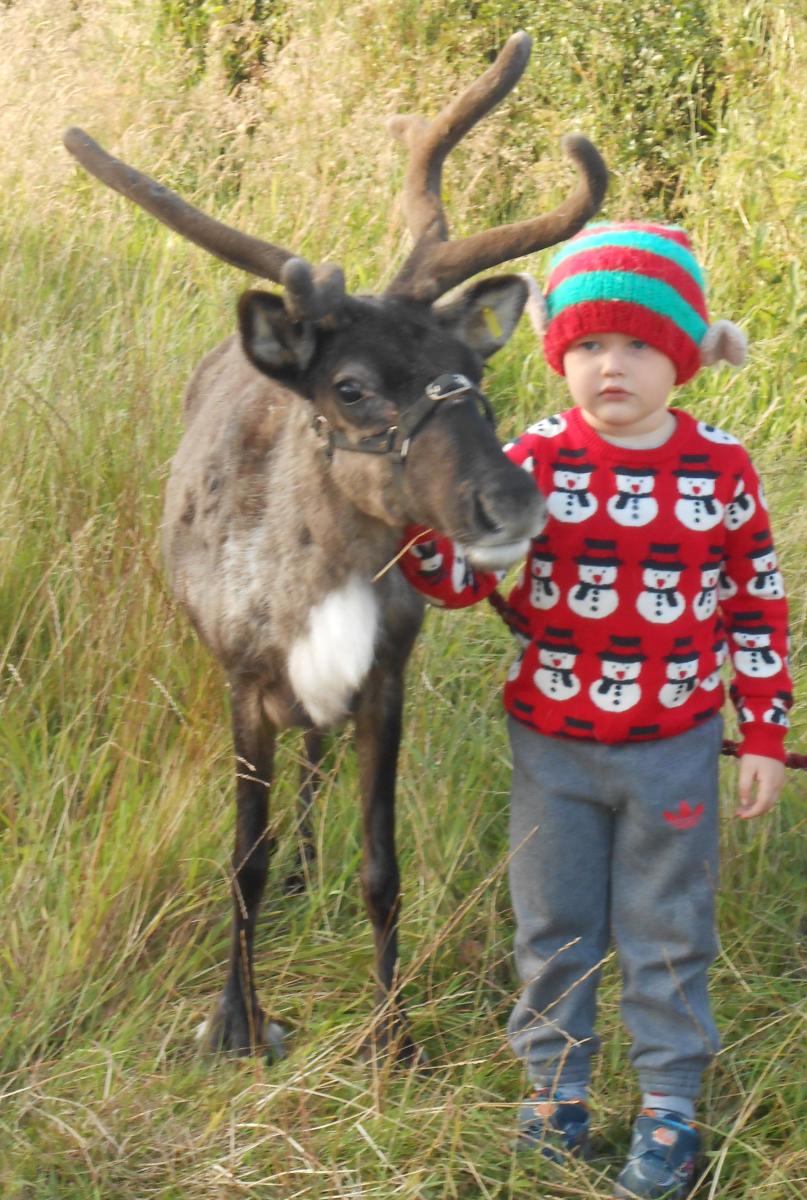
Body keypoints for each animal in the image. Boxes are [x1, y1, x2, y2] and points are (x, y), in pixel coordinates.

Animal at [63, 31, 607, 1063]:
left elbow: (381, 864)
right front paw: (236, 1022)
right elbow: (240, 858)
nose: (512, 498)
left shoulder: (387, 675)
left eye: (471, 371)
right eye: (350, 386)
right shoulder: (240, 677)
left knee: (316, 770)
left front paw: (391, 1035)